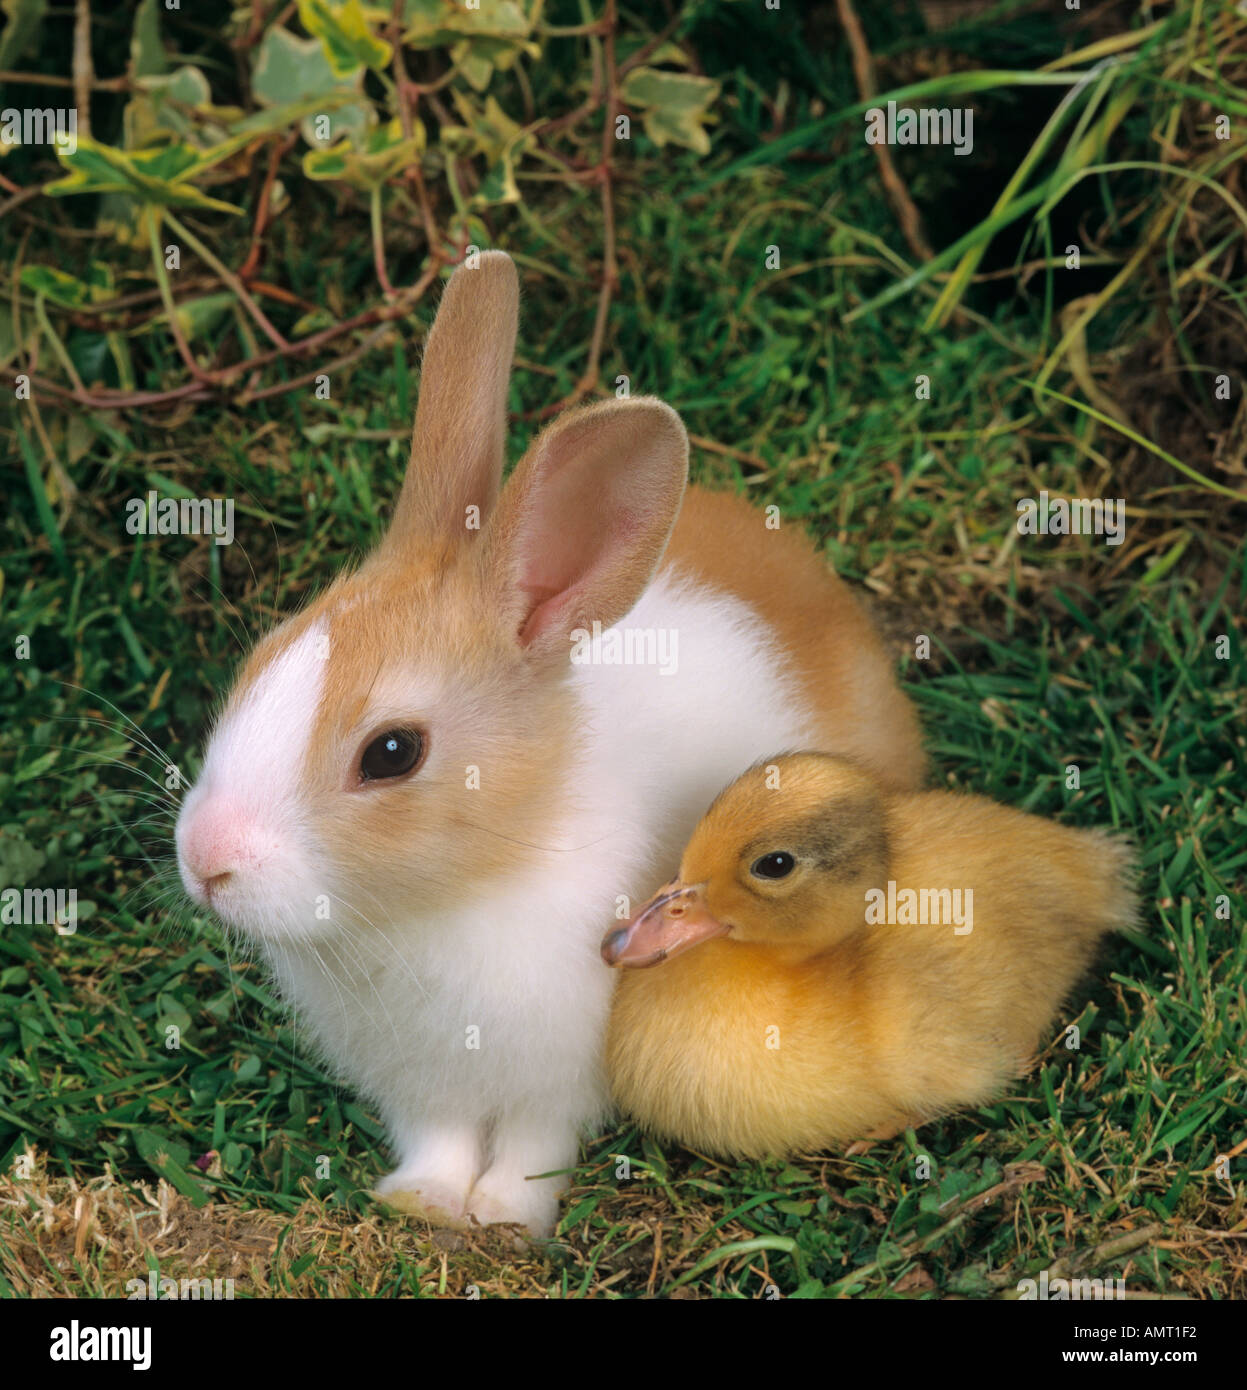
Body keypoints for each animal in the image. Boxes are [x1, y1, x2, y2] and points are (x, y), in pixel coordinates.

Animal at [174, 251, 926, 1237]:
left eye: (391, 753)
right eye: (261, 658)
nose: (205, 861)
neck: (466, 885)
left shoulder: (564, 1072)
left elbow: (535, 1147)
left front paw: (503, 1220)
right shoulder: (419, 1085)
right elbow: (439, 1136)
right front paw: (424, 1202)